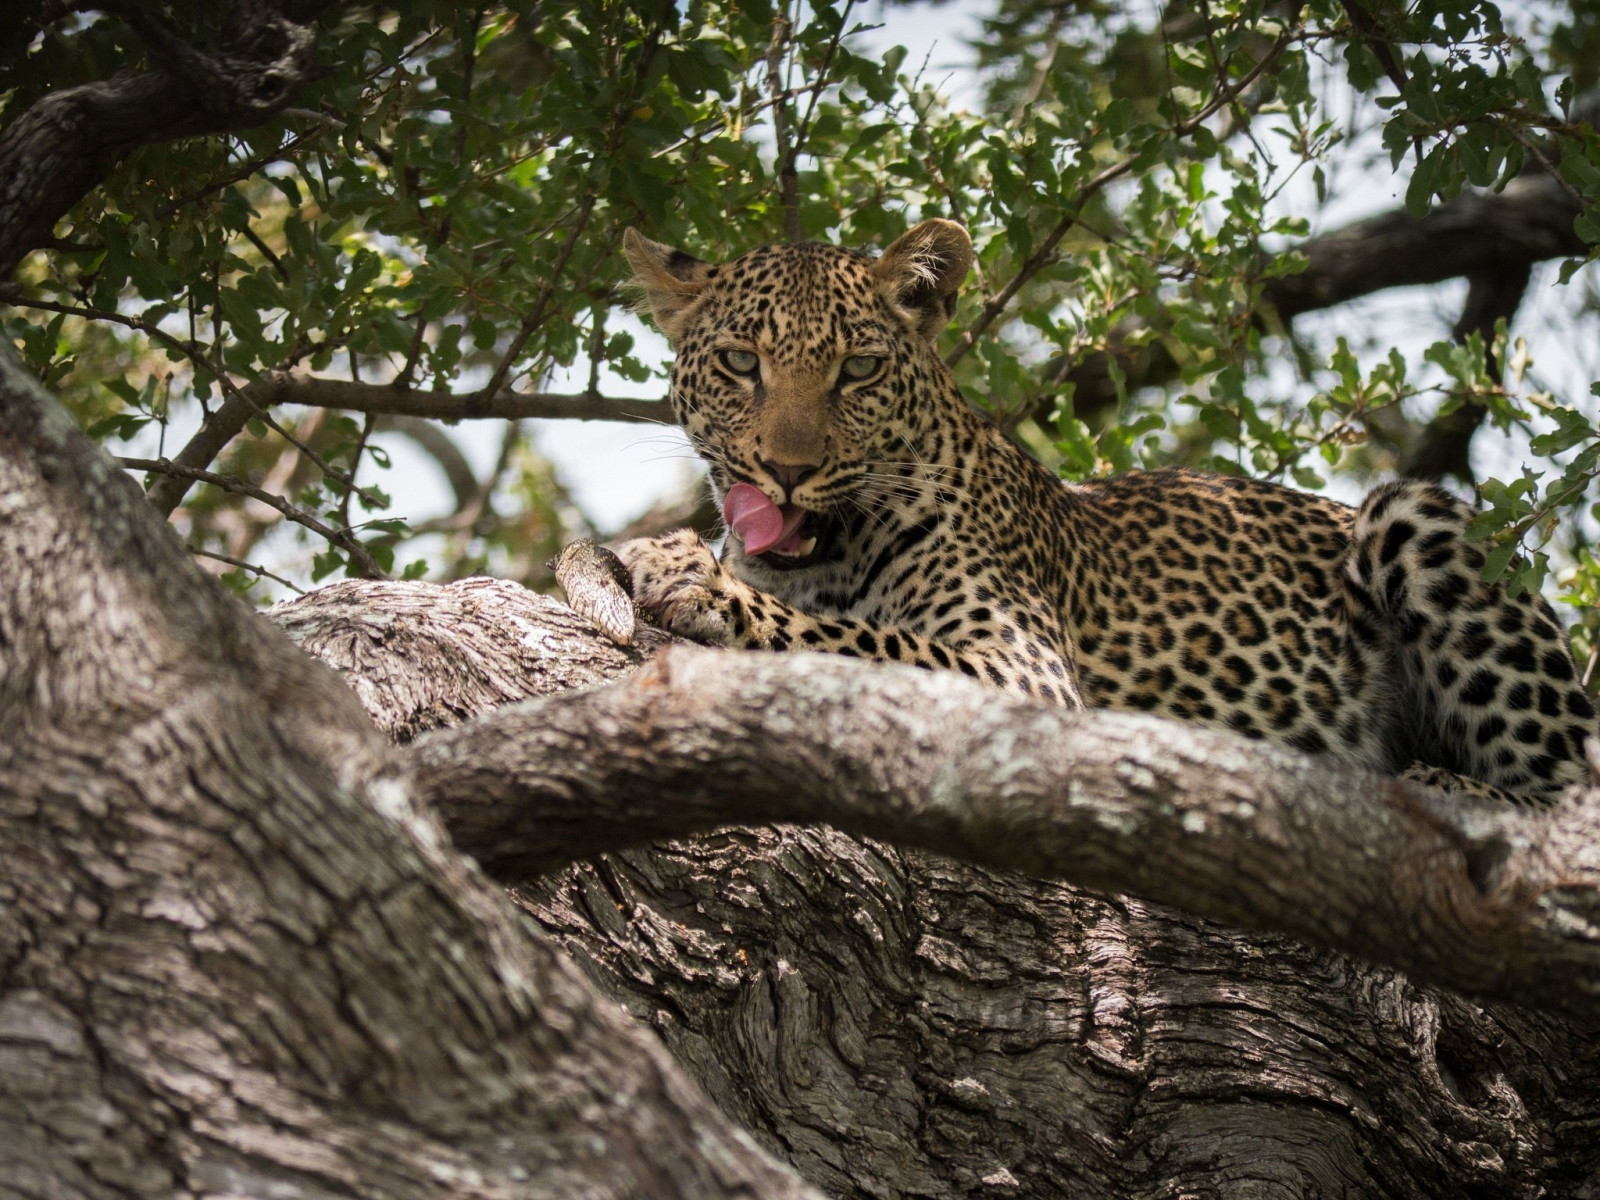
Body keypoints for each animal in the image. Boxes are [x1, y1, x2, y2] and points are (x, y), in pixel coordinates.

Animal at [615, 218, 1596, 803]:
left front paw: (693, 578)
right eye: (741, 363)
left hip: (1417, 517)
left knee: (1568, 796)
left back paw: (1439, 786)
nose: (787, 472)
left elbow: (856, 642)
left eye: (858, 370)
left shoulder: (1023, 673)